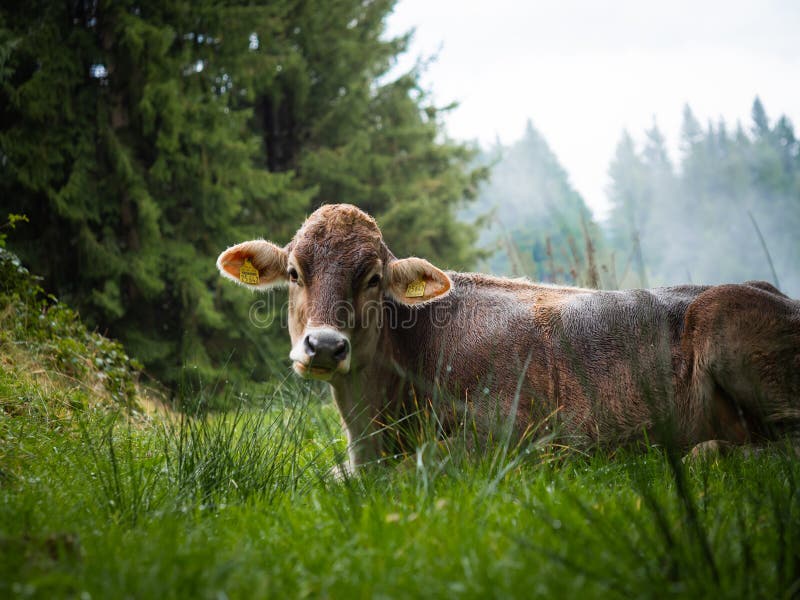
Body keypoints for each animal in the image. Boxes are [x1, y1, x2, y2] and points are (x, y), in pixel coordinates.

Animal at [216, 203, 800, 472]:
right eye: (295, 273)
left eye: (374, 278)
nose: (325, 346)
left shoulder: (513, 435)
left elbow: (427, 463)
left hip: (730, 326)